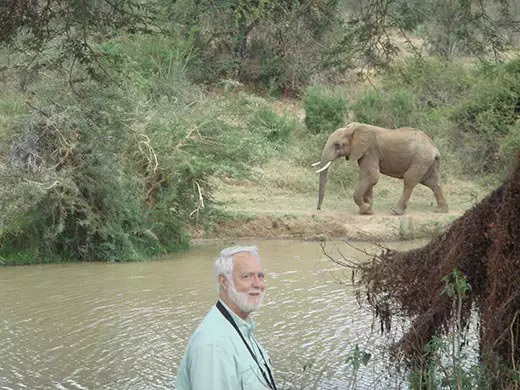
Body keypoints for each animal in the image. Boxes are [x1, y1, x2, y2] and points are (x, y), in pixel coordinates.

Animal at [312, 122, 446, 215]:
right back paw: (441, 211)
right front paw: (367, 211)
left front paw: (365, 209)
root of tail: (434, 148)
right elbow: (366, 176)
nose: (318, 209)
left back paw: (396, 211)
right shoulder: (364, 153)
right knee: (432, 182)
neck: (354, 129)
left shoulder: (370, 150)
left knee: (410, 179)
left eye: (337, 145)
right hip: (427, 161)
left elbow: (371, 176)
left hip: (421, 158)